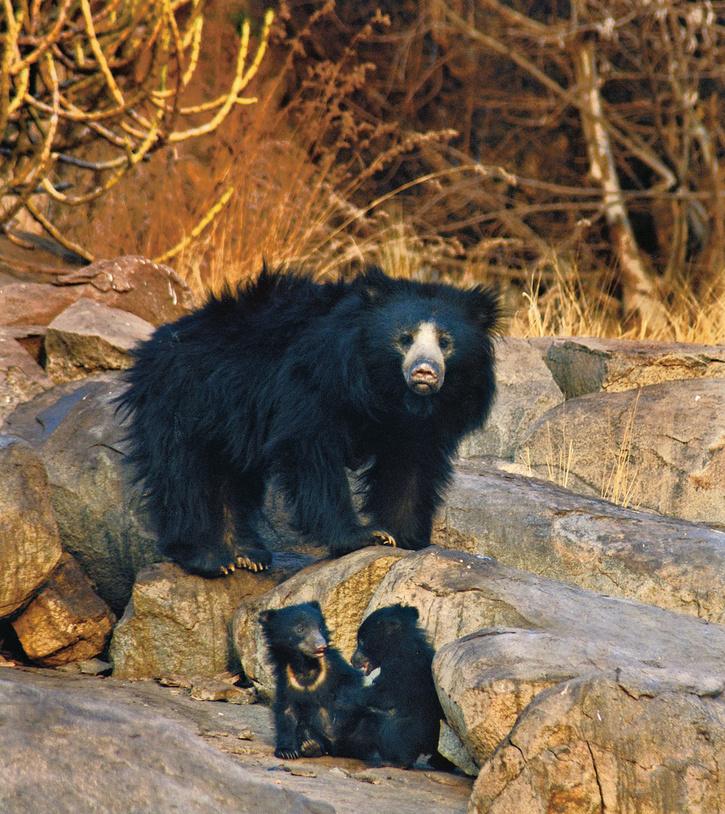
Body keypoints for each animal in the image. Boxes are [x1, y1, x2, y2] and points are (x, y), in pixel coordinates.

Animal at [116, 265, 498, 576]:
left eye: (446, 343)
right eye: (404, 339)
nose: (425, 372)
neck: (387, 389)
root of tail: (159, 341)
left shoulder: (423, 422)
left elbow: (411, 466)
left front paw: (406, 537)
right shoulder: (314, 380)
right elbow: (311, 450)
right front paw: (364, 536)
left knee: (231, 478)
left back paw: (247, 554)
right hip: (184, 400)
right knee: (183, 473)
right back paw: (210, 558)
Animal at [259, 601, 366, 759]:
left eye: (320, 627)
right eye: (300, 629)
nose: (321, 645)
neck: (305, 665)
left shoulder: (336, 667)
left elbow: (350, 685)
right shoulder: (286, 681)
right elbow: (286, 713)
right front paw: (286, 752)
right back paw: (311, 746)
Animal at [351, 604, 451, 769]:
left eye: (362, 641)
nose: (352, 659)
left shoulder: (398, 666)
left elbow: (385, 695)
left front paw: (356, 695)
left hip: (413, 728)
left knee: (394, 732)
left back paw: (394, 761)